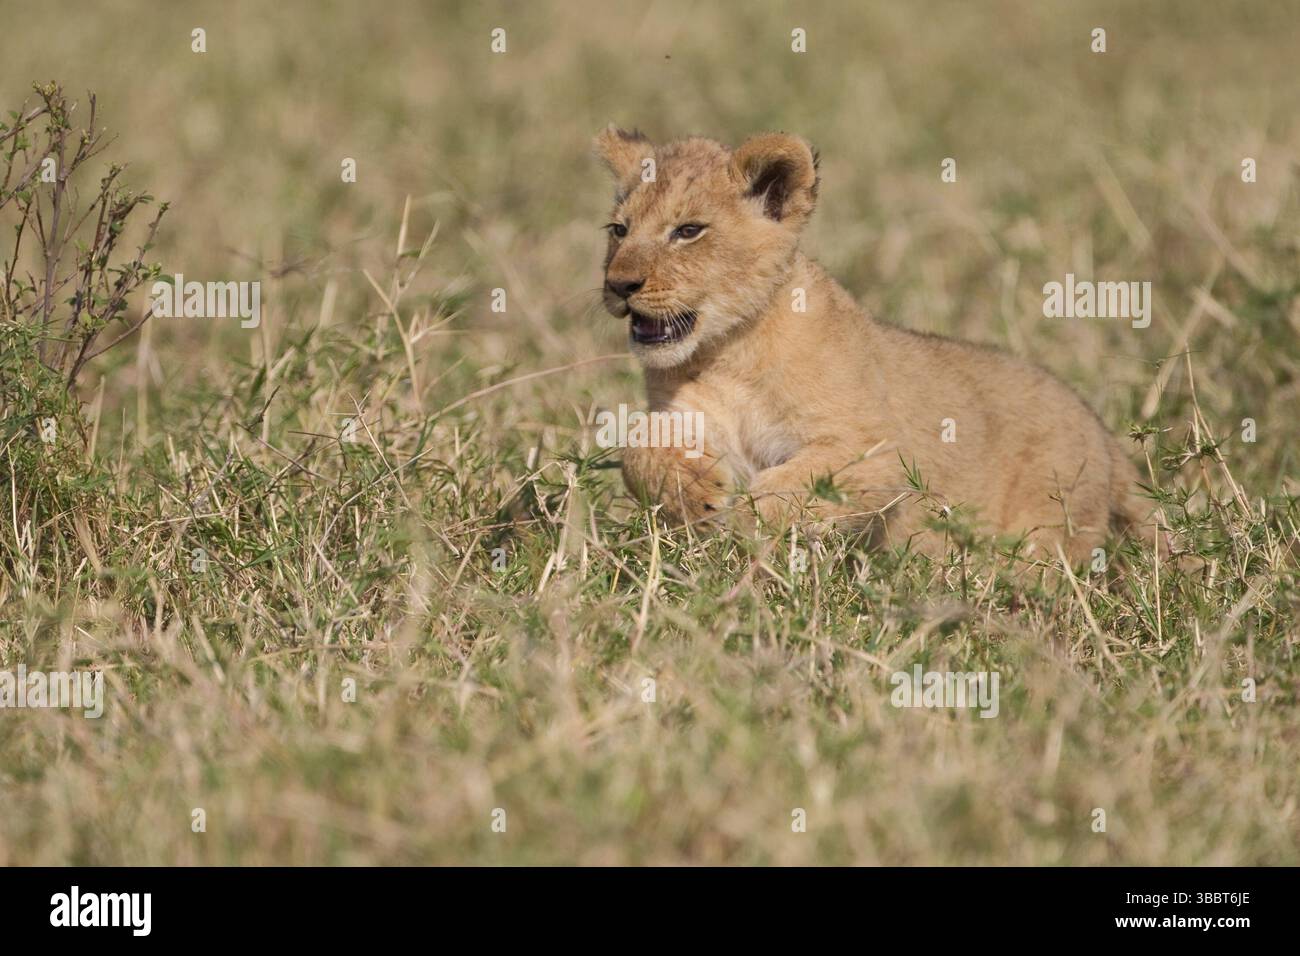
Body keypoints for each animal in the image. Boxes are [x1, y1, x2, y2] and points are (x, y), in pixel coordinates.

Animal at [594, 125, 1150, 563]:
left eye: (688, 230)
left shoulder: (878, 454)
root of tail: (1101, 431)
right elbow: (637, 445)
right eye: (619, 229)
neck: (728, 353)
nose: (619, 285)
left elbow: (788, 489)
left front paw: (750, 531)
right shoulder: (685, 415)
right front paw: (693, 495)